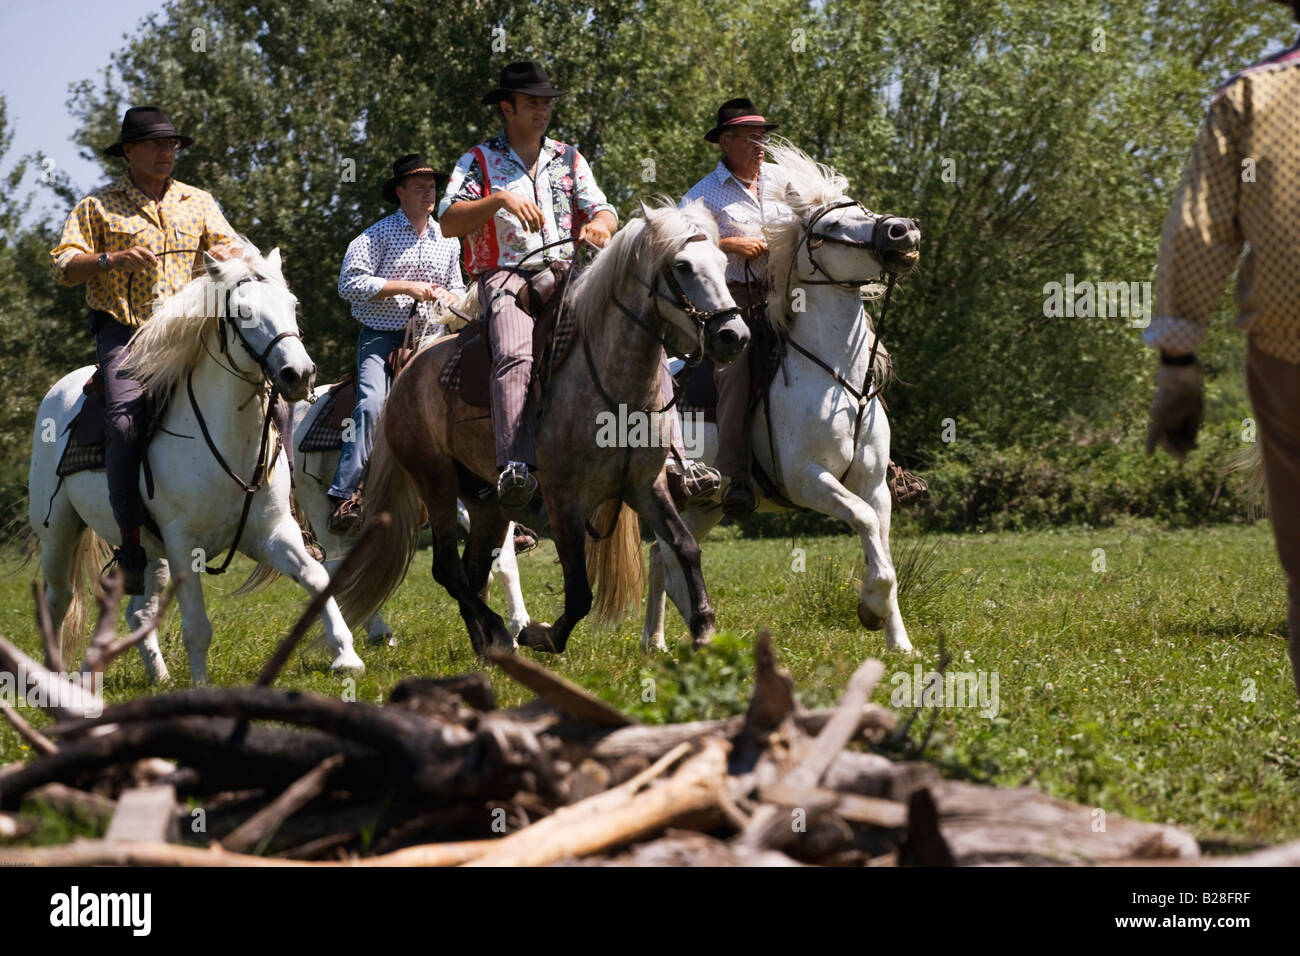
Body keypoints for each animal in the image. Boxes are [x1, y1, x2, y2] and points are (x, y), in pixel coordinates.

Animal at [28, 244, 366, 683]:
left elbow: (317, 578)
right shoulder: (184, 544)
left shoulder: (274, 533)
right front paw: (201, 685)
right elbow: (197, 627)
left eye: (292, 304)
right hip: (58, 533)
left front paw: (346, 656)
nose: (299, 374)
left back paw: (160, 677)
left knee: (139, 612)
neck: (228, 441)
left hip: (148, 551)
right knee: (59, 600)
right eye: (243, 311)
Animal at [335, 200, 749, 655]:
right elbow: (579, 591)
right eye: (683, 266)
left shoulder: (646, 486)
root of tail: (411, 367)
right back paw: (499, 631)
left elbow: (686, 548)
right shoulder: (563, 498)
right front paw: (543, 635)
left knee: (473, 570)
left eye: (722, 262)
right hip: (436, 481)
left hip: (486, 501)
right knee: (447, 568)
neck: (609, 384)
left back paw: (488, 644)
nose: (734, 335)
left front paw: (704, 628)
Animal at [642, 142, 922, 654]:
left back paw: (655, 641)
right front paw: (870, 610)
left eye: (865, 210)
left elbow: (883, 550)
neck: (836, 378)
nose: (902, 230)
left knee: (660, 556)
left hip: (704, 505)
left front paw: (898, 641)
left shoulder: (875, 486)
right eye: (833, 227)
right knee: (667, 559)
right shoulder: (808, 480)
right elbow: (864, 523)